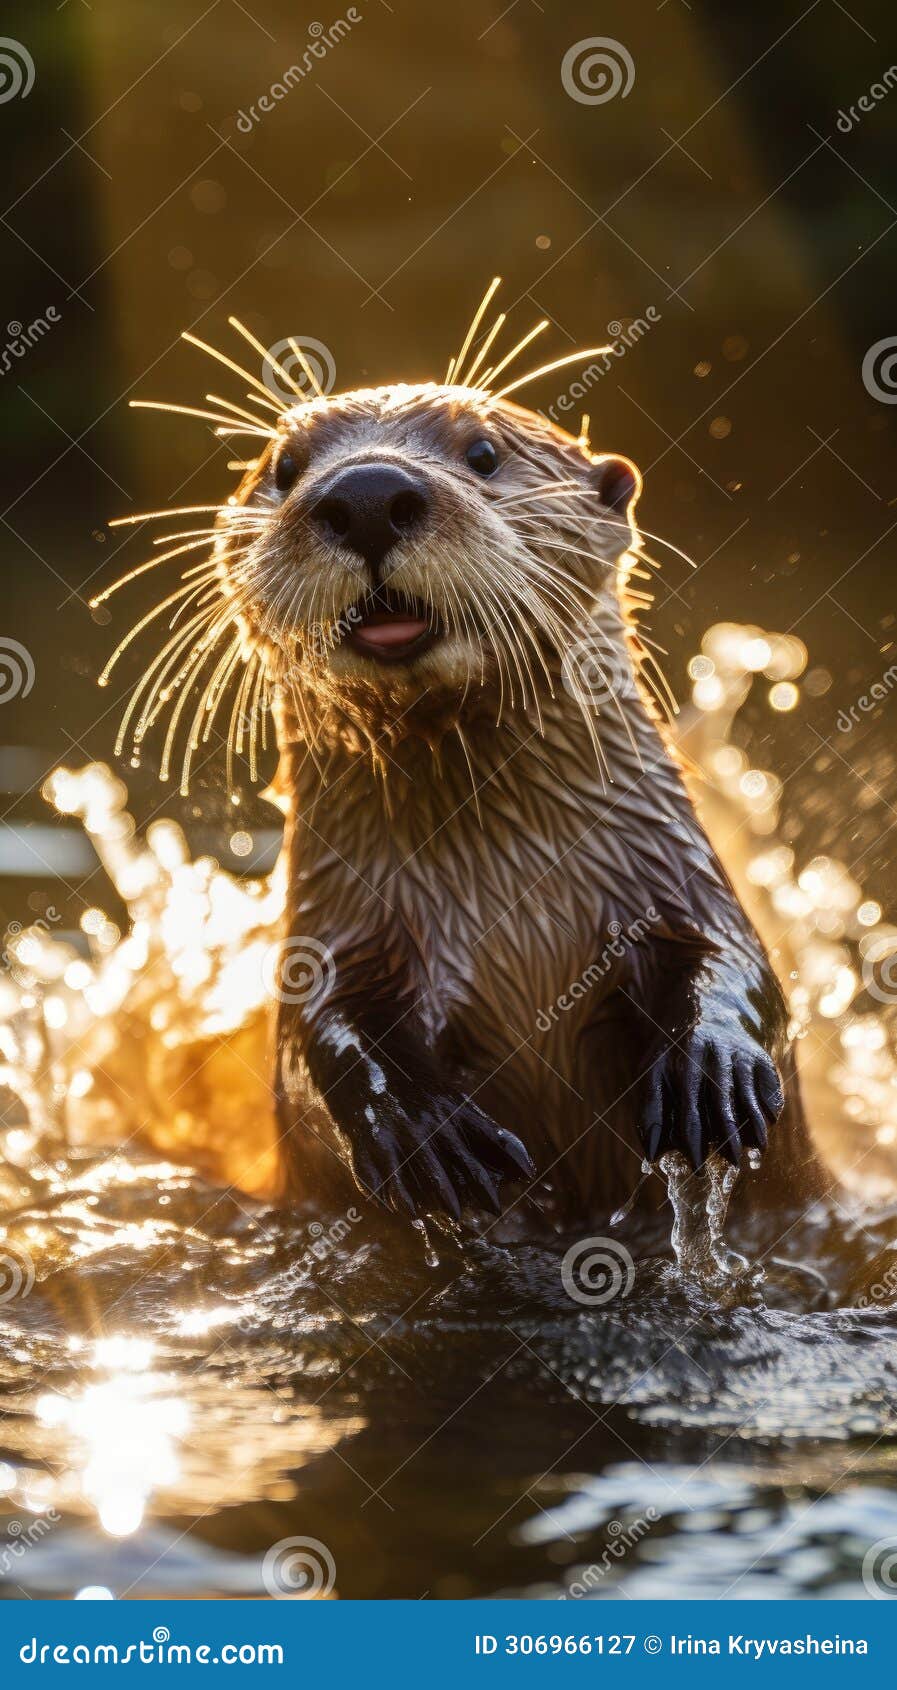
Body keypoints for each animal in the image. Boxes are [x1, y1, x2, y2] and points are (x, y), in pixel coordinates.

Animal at [101, 288, 824, 1228]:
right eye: (285, 466)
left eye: (482, 452)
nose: (367, 492)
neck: (511, 906)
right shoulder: (336, 933)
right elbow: (318, 1039)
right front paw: (420, 1131)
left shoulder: (674, 876)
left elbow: (738, 965)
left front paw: (713, 1069)